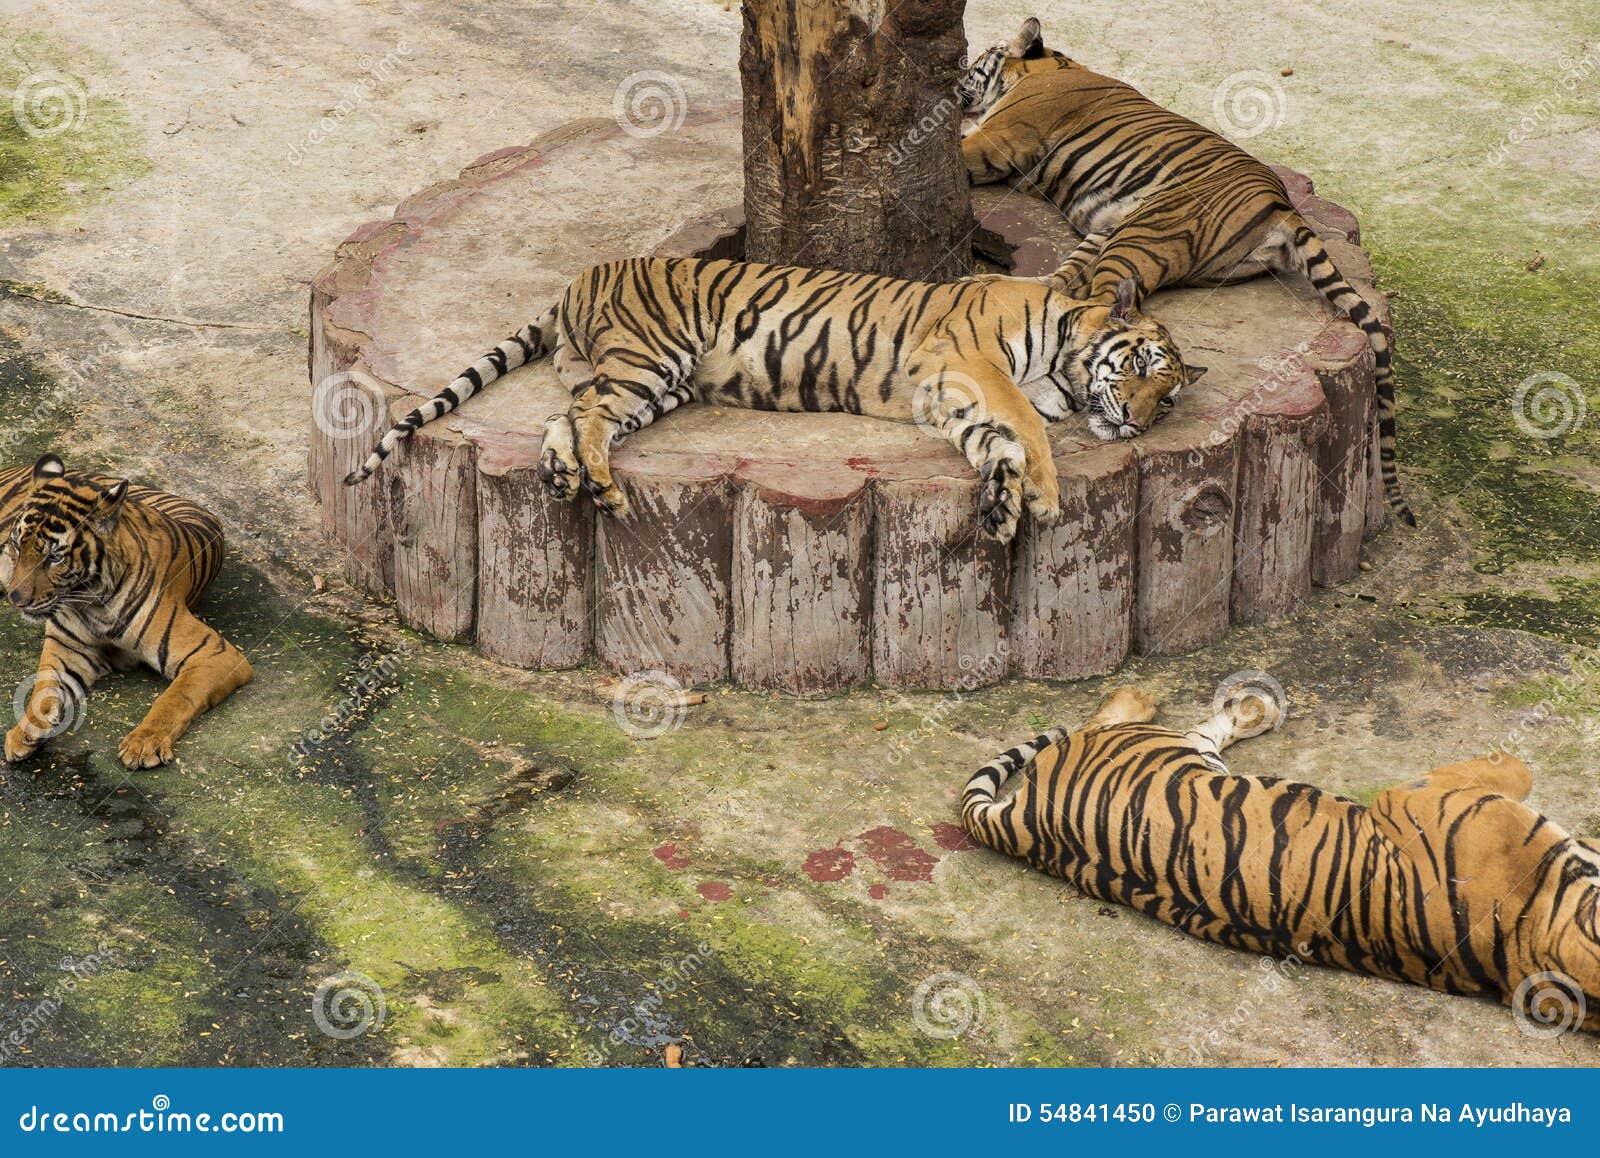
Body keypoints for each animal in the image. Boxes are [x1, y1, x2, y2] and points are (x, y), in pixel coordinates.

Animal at [0, 455, 253, 769]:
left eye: (55, 557)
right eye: (16, 544)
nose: (16, 599)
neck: (91, 601)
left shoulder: (215, 654)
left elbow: (174, 697)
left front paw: (144, 742)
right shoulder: (67, 648)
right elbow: (43, 689)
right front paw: (24, 732)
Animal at [342, 256, 1206, 544]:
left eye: (1169, 398)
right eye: (1141, 366)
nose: (1138, 421)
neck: (1066, 363)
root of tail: (579, 280)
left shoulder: (945, 397)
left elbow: (994, 444)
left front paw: (1000, 507)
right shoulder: (965, 362)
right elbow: (1027, 429)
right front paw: (1048, 496)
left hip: (650, 383)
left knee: (568, 415)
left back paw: (568, 479)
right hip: (651, 358)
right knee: (584, 417)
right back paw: (607, 492)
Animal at [958, 18, 1416, 526]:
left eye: (978, 57)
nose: (955, 79)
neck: (1047, 67)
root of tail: (1285, 205)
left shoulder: (995, 140)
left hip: (1140, 231)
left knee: (1101, 306)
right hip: (1117, 228)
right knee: (1070, 282)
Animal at [962, 684, 1600, 1032]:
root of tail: (1029, 825)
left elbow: (1517, 768)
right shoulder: (1413, 795)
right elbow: (1518, 765)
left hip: (1169, 754)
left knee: (1153, 724)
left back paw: (1241, 704)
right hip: (1166, 751)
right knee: (1136, 722)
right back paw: (1237, 703)